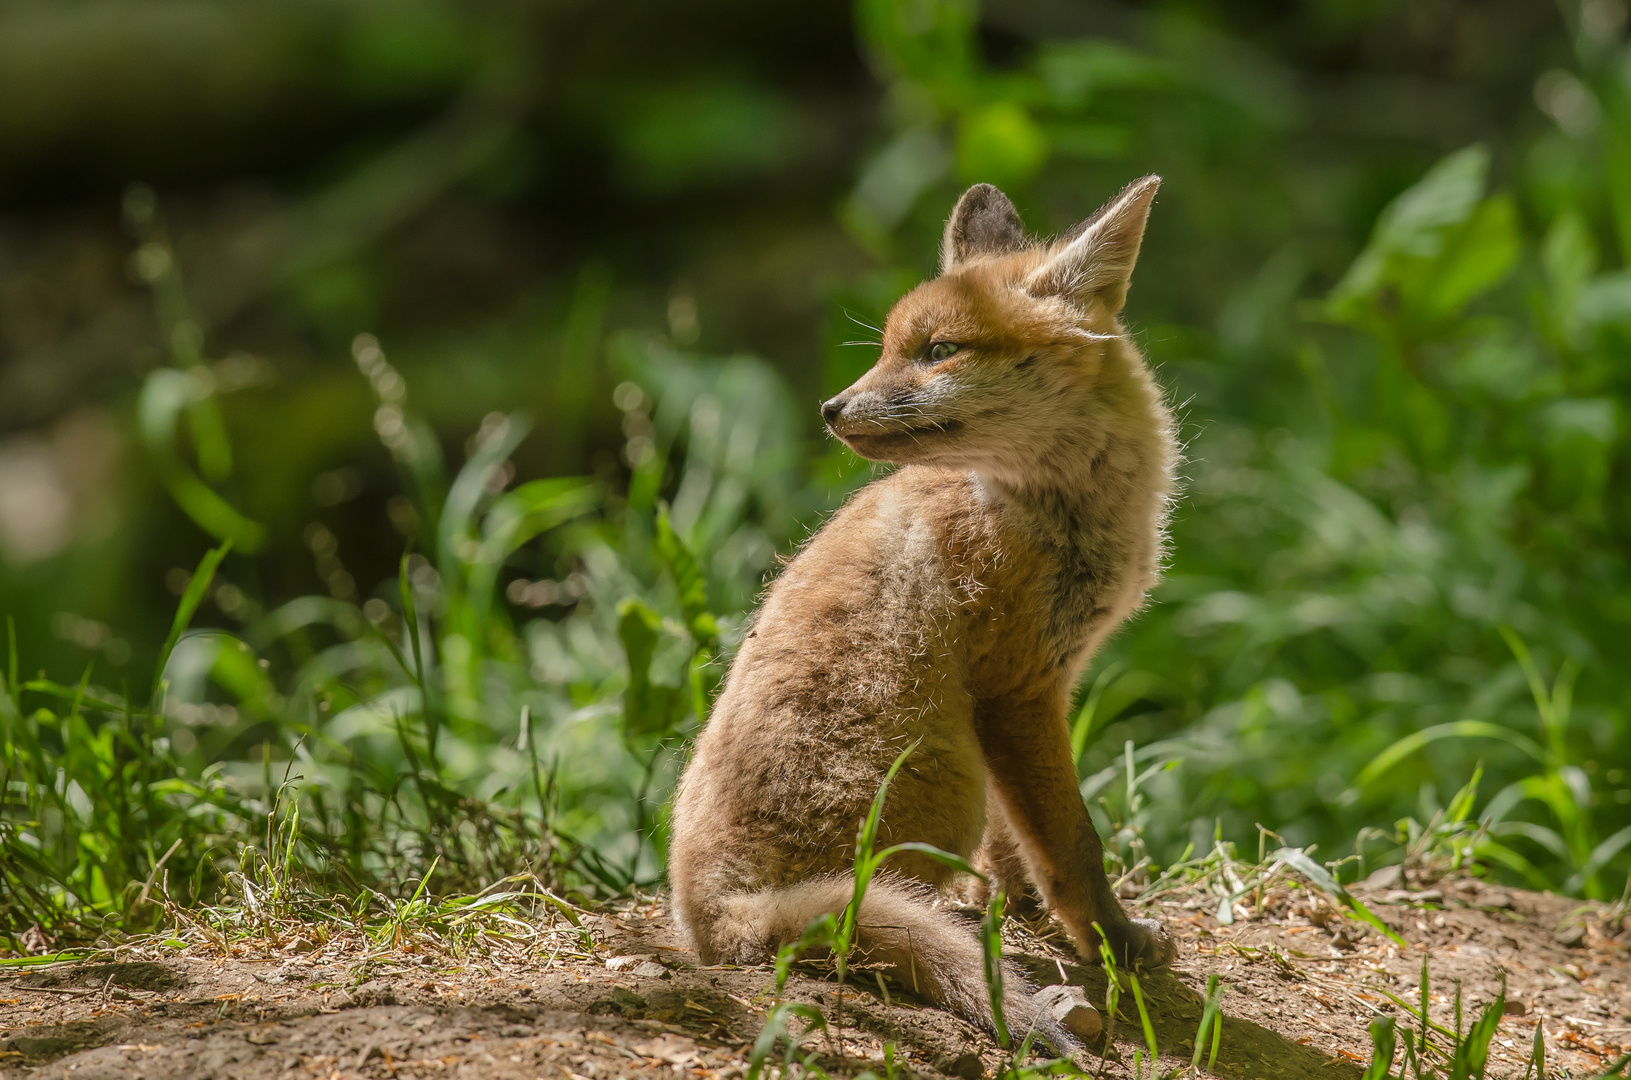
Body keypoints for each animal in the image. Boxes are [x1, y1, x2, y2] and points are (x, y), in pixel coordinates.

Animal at [667, 176, 1178, 1053]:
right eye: (886, 348)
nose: (830, 407)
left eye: (938, 350)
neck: (1041, 507)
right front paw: (1110, 944)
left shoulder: (1023, 697)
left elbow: (1017, 844)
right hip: (947, 776)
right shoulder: (1017, 689)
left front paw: (1019, 907)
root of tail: (713, 924)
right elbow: (1072, 846)